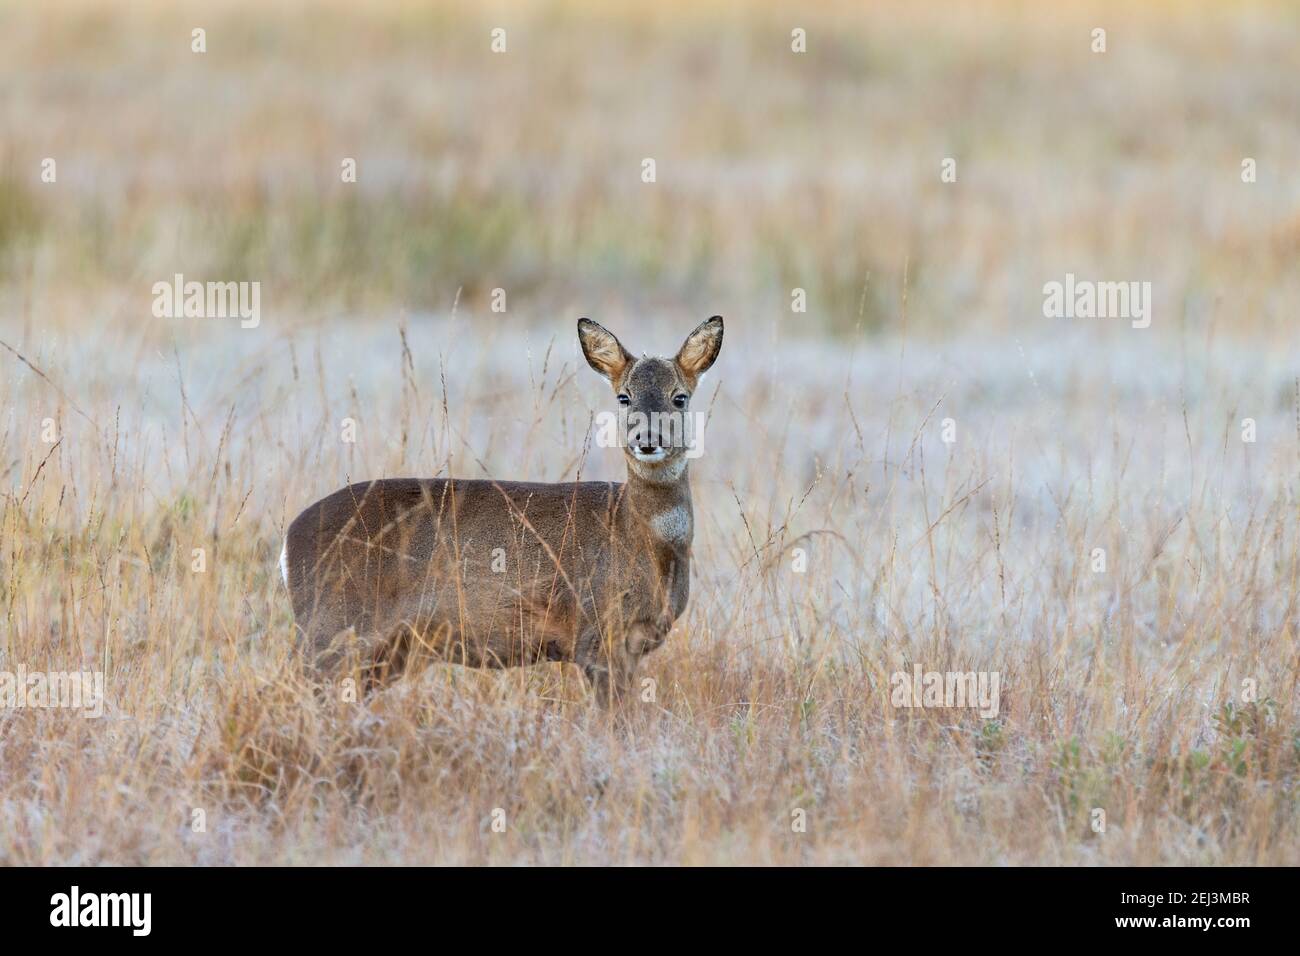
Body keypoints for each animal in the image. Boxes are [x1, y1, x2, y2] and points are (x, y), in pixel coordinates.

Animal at [280, 316, 723, 705]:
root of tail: (288, 541)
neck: (638, 536)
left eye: (679, 397)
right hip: (329, 626)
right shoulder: (596, 635)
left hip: (384, 650)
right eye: (624, 396)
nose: (647, 439)